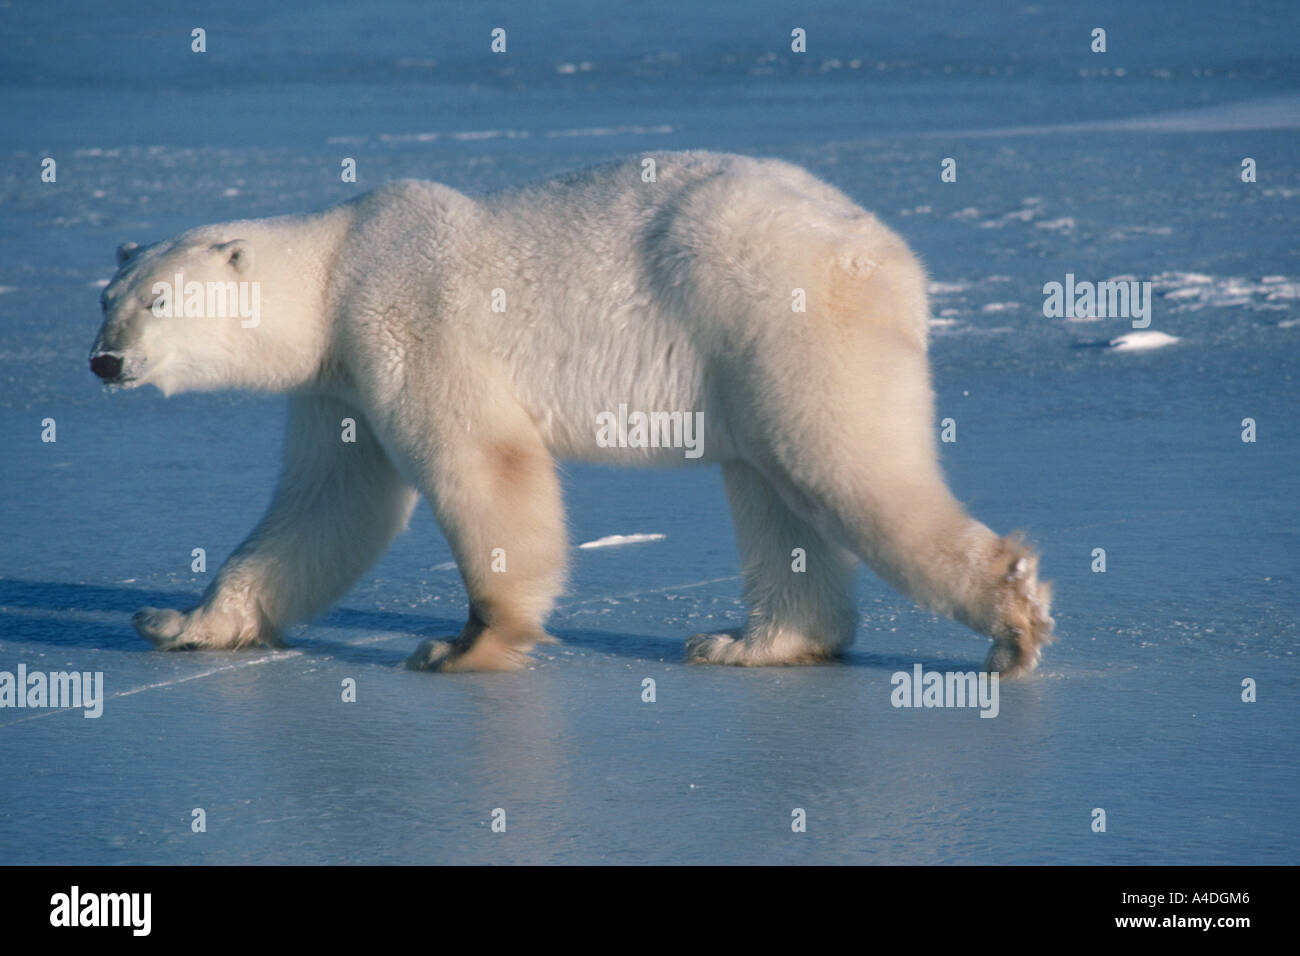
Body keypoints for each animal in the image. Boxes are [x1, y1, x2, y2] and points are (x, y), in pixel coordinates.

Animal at [89, 151, 1054, 676]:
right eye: (107, 297)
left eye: (162, 301)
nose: (105, 361)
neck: (340, 263)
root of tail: (889, 253)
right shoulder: (337, 384)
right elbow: (325, 505)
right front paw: (180, 623)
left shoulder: (404, 318)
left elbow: (482, 461)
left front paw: (463, 645)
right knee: (771, 487)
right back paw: (751, 642)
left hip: (783, 313)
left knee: (845, 466)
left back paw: (1012, 618)